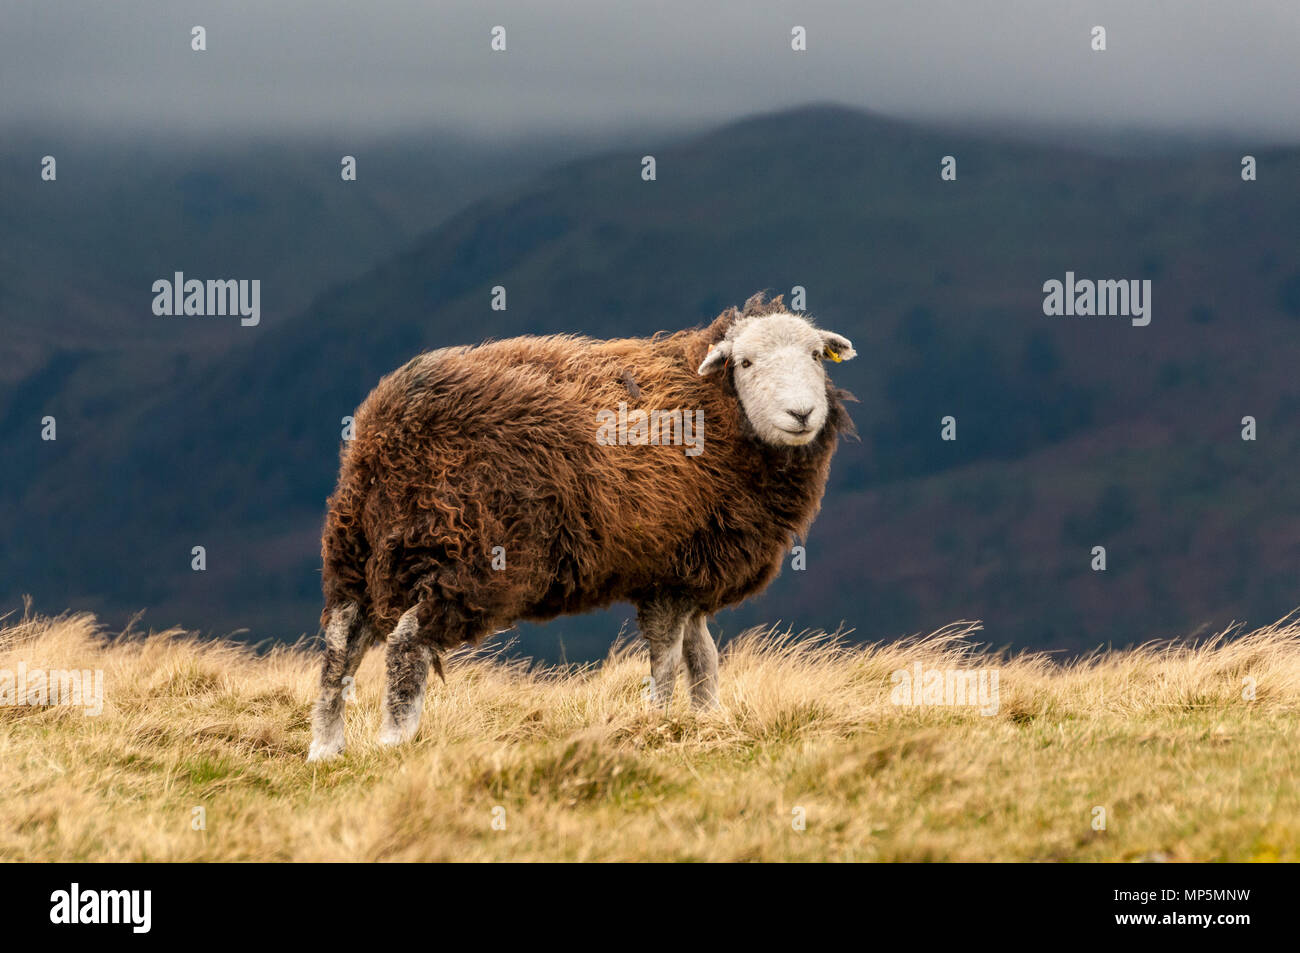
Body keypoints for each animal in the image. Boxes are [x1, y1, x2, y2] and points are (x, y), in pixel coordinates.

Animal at [307, 293, 857, 760]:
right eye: (745, 363)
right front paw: (659, 721)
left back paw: (325, 748)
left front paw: (708, 719)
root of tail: (390, 429)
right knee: (406, 642)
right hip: (463, 553)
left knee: (339, 646)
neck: (720, 414)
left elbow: (702, 658)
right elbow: (667, 660)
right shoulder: (670, 575)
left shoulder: (687, 573)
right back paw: (394, 740)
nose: (801, 412)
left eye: (816, 355)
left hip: (357, 548)